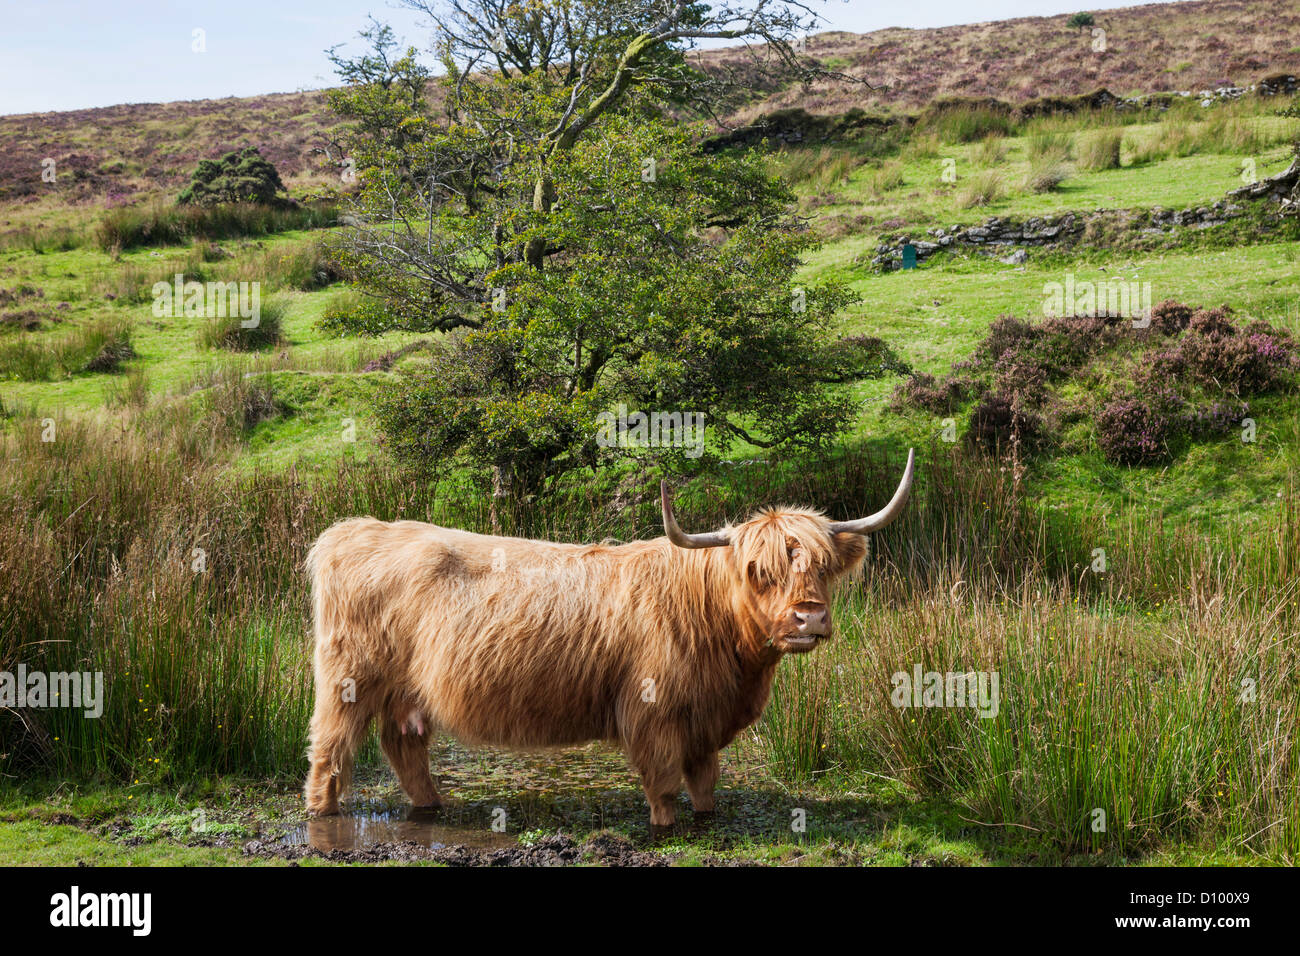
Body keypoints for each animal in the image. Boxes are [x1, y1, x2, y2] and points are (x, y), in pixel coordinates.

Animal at [304, 449, 914, 825]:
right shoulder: (654, 714)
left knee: (404, 747)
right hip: (347, 681)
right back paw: (322, 814)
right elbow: (663, 785)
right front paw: (668, 827)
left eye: (821, 567)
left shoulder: (704, 721)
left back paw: (433, 806)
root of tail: (355, 528)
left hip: (404, 693)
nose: (809, 618)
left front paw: (707, 818)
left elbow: (705, 783)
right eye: (758, 571)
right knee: (329, 752)